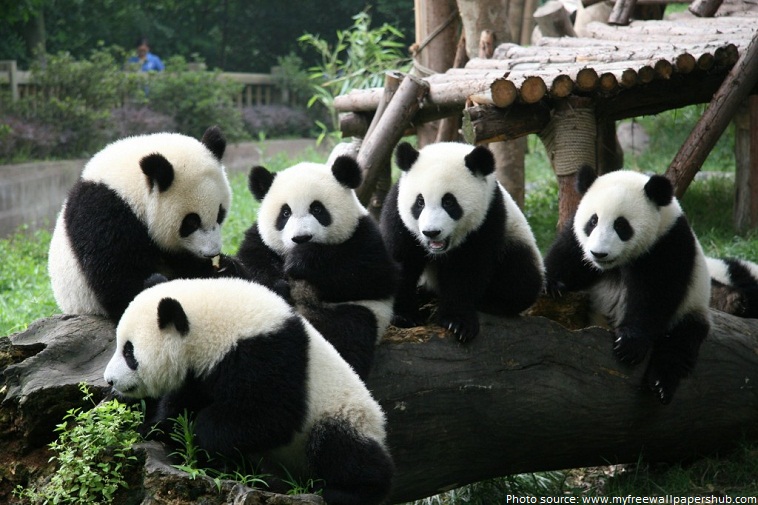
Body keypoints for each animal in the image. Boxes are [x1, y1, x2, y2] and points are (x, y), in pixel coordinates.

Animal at [48, 126, 247, 322]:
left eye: (220, 214)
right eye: (191, 222)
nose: (211, 253)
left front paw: (227, 267)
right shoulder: (103, 214)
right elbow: (117, 280)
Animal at [103, 277, 394, 505]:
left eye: (129, 352)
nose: (109, 381)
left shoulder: (266, 353)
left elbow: (271, 416)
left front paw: (200, 436)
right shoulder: (200, 373)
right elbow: (182, 402)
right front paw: (157, 429)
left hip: (344, 415)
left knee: (342, 450)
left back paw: (344, 491)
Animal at [235, 155, 397, 379]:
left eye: (317, 209)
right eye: (285, 213)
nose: (301, 238)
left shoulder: (365, 235)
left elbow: (373, 274)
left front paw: (302, 259)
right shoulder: (259, 240)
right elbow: (251, 265)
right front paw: (278, 284)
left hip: (356, 313)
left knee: (348, 335)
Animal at [379, 141, 544, 342]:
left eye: (449, 202)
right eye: (420, 202)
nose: (431, 232)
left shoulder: (488, 216)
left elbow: (467, 268)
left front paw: (457, 322)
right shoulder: (397, 214)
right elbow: (401, 259)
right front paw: (404, 315)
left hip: (515, 239)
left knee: (521, 279)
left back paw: (487, 303)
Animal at [543, 165, 711, 404]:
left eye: (621, 225)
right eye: (593, 221)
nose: (598, 253)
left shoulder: (668, 244)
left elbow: (655, 295)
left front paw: (630, 343)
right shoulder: (577, 239)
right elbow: (567, 256)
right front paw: (551, 284)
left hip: (693, 306)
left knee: (680, 343)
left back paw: (661, 383)